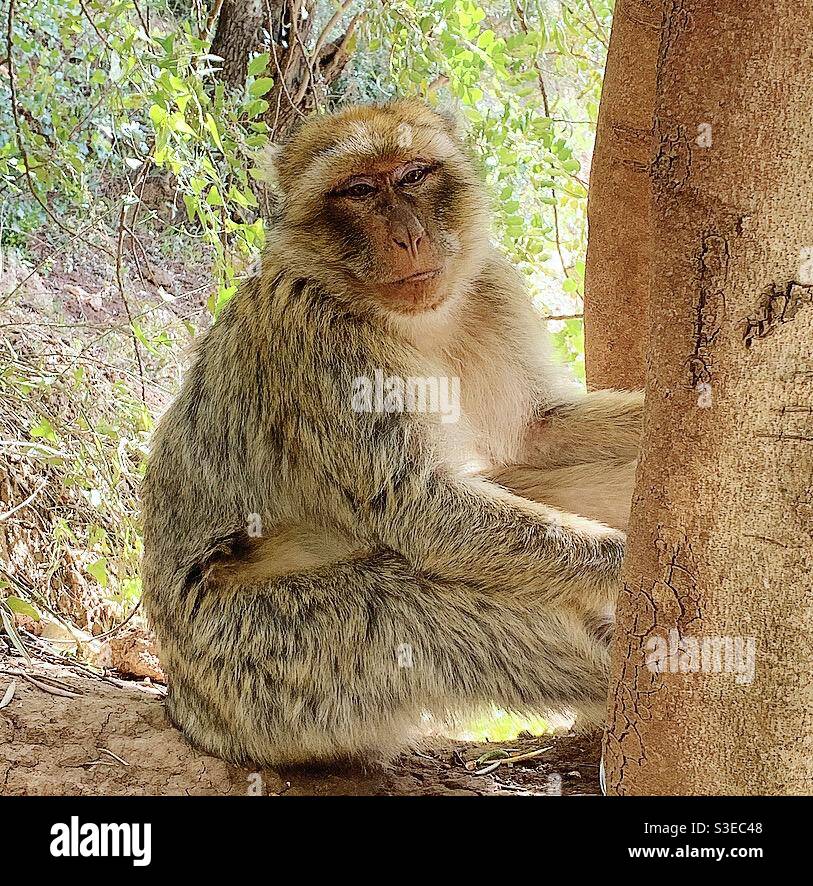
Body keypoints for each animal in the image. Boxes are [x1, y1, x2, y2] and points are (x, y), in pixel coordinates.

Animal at [141, 99, 643, 768]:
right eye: (358, 190)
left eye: (412, 175)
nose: (409, 236)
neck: (411, 319)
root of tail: (185, 703)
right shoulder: (324, 344)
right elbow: (422, 508)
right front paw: (627, 563)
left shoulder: (491, 290)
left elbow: (538, 431)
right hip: (257, 671)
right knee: (411, 607)